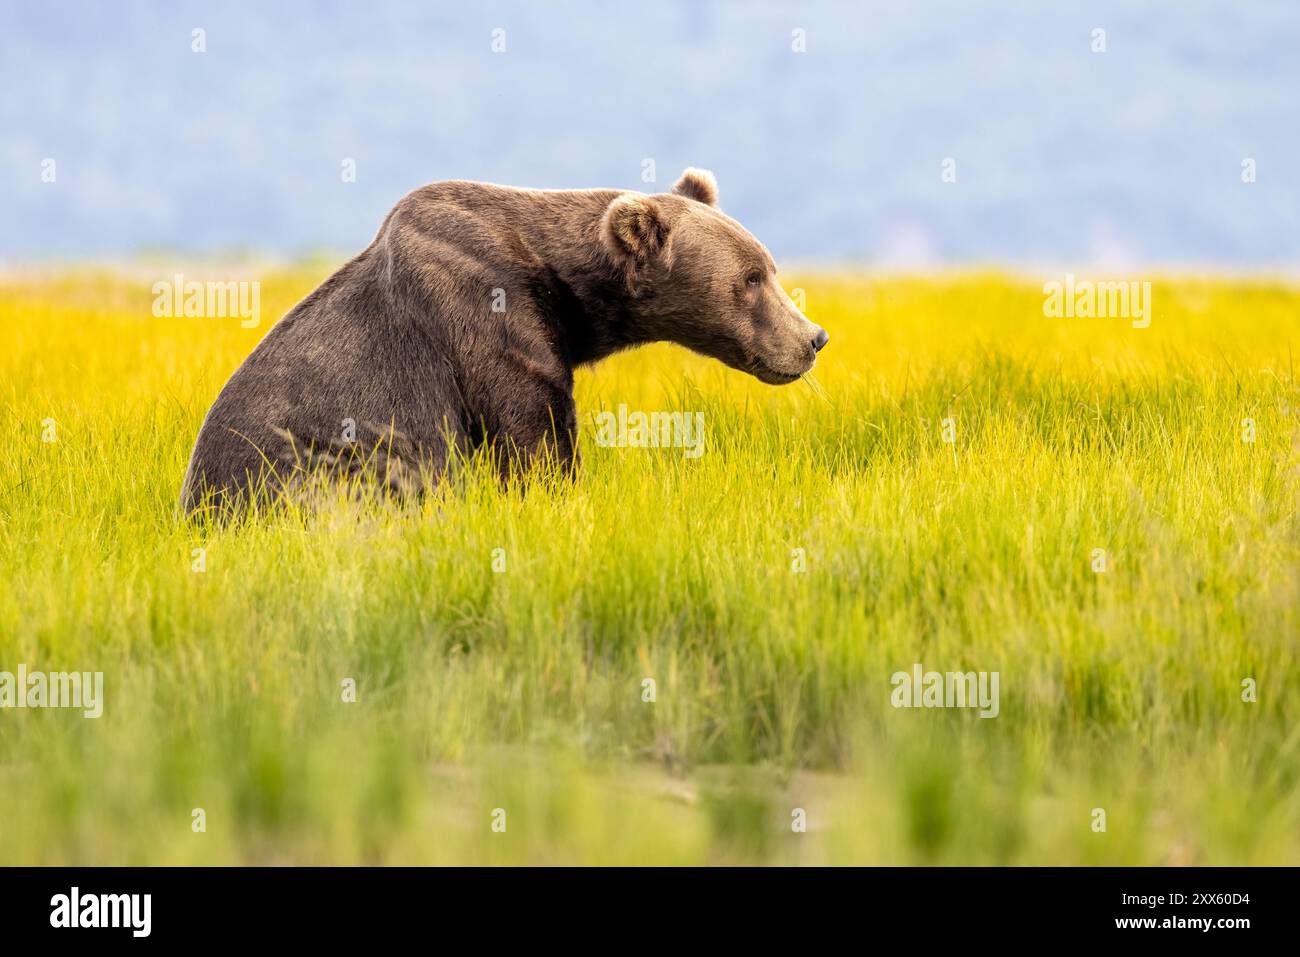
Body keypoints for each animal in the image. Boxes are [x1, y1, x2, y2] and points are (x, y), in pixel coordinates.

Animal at [180, 168, 829, 513]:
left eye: (769, 266)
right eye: (751, 278)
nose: (814, 337)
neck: (564, 291)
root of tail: (192, 505)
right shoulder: (484, 313)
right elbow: (532, 432)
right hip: (292, 469)